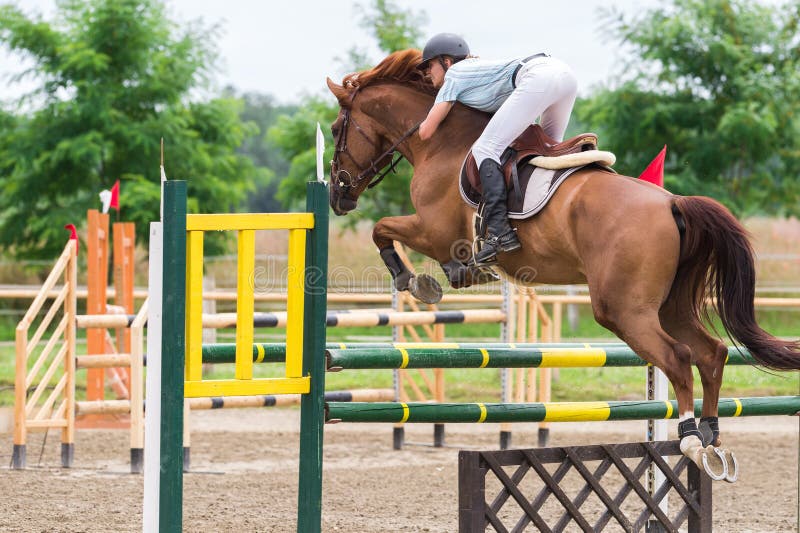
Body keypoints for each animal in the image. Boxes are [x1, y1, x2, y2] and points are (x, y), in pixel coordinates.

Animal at [326, 49, 800, 480]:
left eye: (334, 129)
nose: (337, 195)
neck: (440, 142)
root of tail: (672, 203)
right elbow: (398, 237)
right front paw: (449, 276)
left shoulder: (433, 230)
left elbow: (382, 229)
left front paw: (413, 280)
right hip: (669, 306)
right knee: (711, 353)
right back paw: (711, 437)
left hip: (623, 310)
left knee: (679, 358)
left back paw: (689, 439)